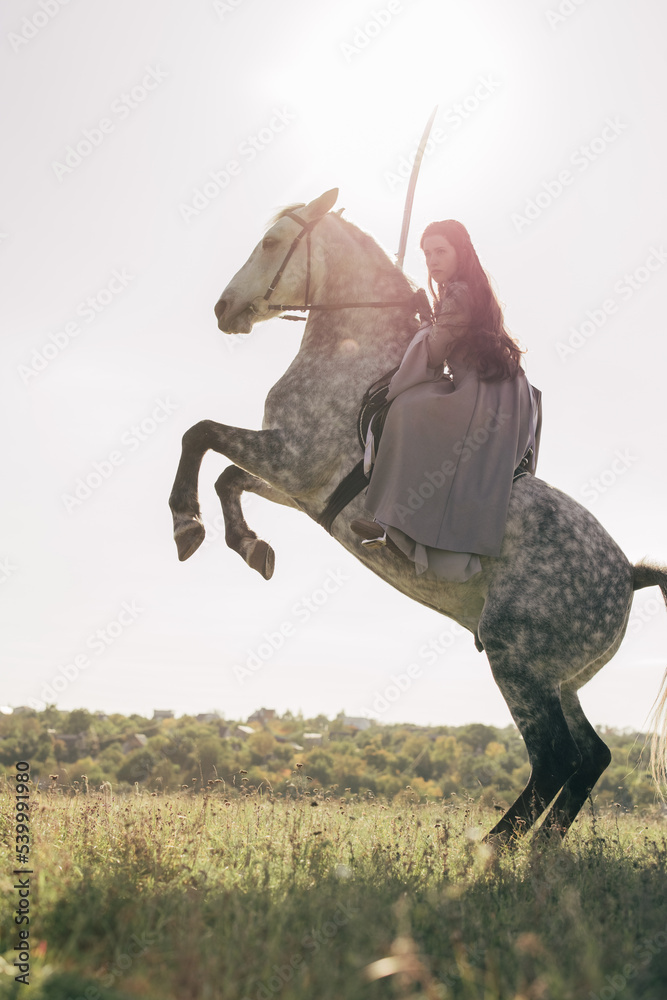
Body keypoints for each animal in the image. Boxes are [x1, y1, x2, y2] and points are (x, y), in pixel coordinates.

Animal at [169, 187, 667, 842]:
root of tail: (630, 575)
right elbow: (228, 476)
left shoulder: (292, 456)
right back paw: (540, 849)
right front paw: (250, 546)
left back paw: (491, 848)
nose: (224, 308)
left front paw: (186, 524)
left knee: (556, 756)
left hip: (518, 660)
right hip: (558, 677)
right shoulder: (297, 485)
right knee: (590, 756)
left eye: (272, 242)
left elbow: (199, 433)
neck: (352, 354)